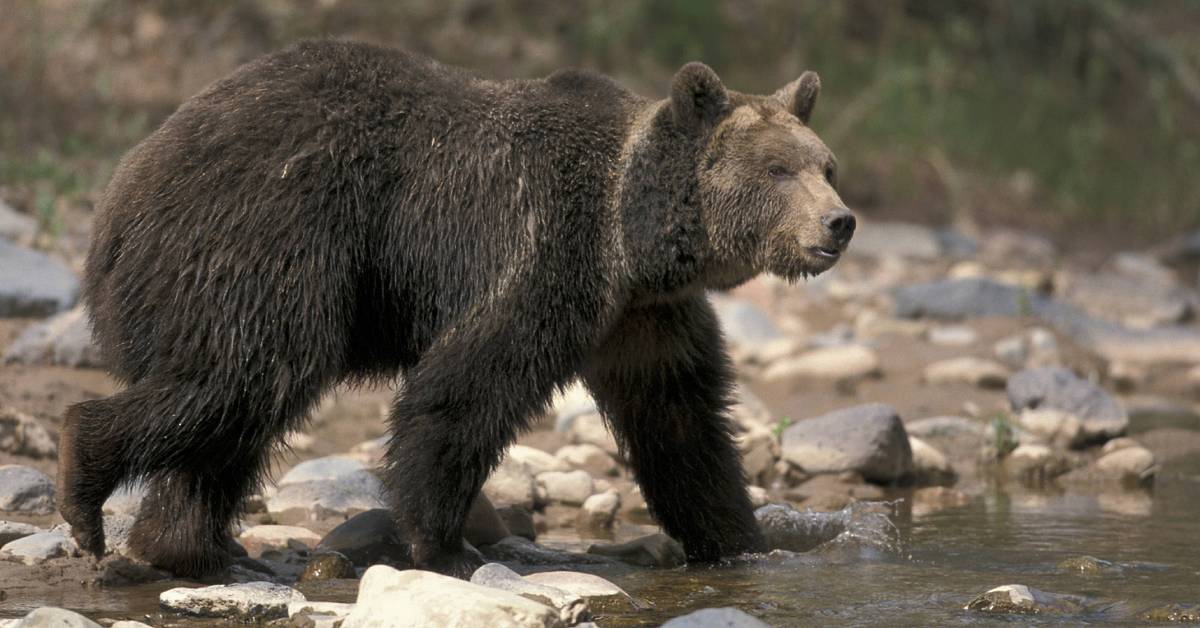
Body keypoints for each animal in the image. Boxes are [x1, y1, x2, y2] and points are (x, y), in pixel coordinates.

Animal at [57, 39, 855, 578]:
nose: (839, 223)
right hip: (269, 234)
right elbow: (463, 389)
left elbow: (681, 420)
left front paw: (741, 542)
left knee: (228, 419)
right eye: (778, 170)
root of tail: (117, 202)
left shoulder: (645, 317)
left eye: (826, 166)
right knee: (242, 375)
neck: (635, 237)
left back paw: (188, 546)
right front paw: (443, 546)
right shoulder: (544, 248)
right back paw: (86, 478)